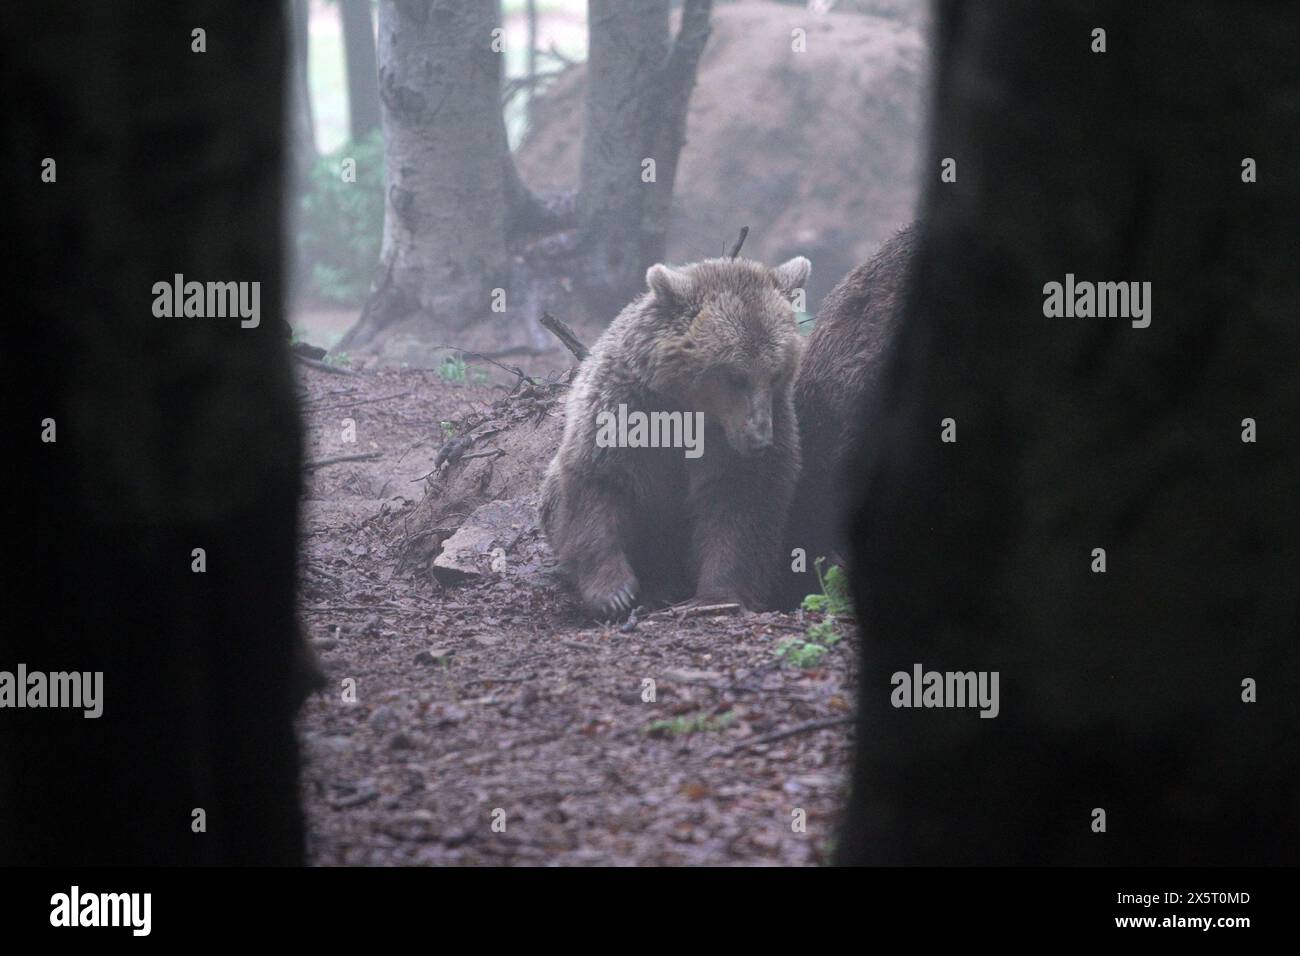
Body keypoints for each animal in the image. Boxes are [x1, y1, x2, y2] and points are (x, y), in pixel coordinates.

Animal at [540, 255, 811, 619]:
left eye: (776, 373)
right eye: (736, 377)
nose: (759, 439)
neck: (689, 409)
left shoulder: (738, 442)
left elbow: (740, 507)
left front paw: (719, 595)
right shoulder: (626, 412)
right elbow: (598, 484)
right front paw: (614, 592)